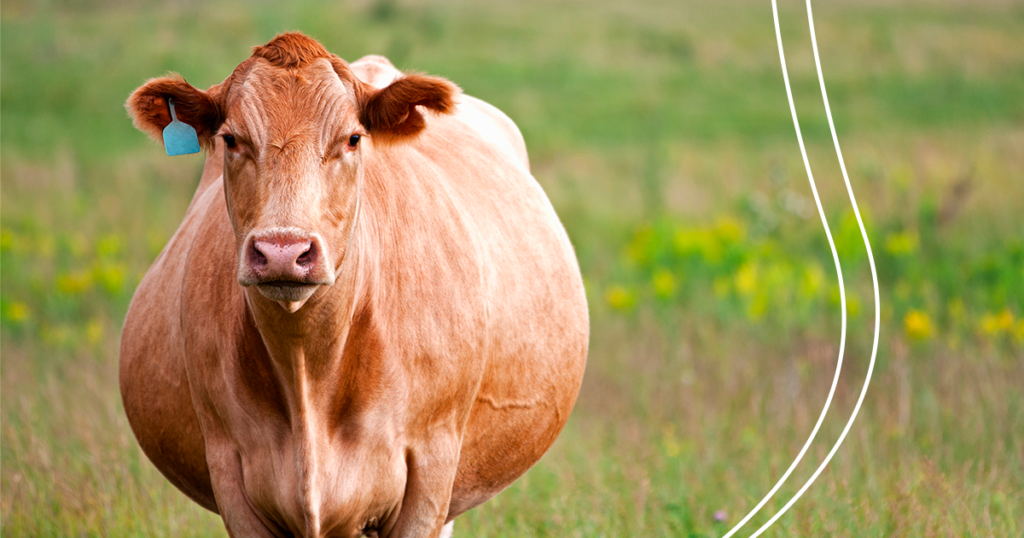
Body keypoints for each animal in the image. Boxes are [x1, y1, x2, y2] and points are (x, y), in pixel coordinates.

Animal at [119, 32, 588, 538]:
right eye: (230, 139)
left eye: (352, 138)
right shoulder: (229, 471)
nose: (283, 251)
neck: (308, 366)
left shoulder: (432, 469)